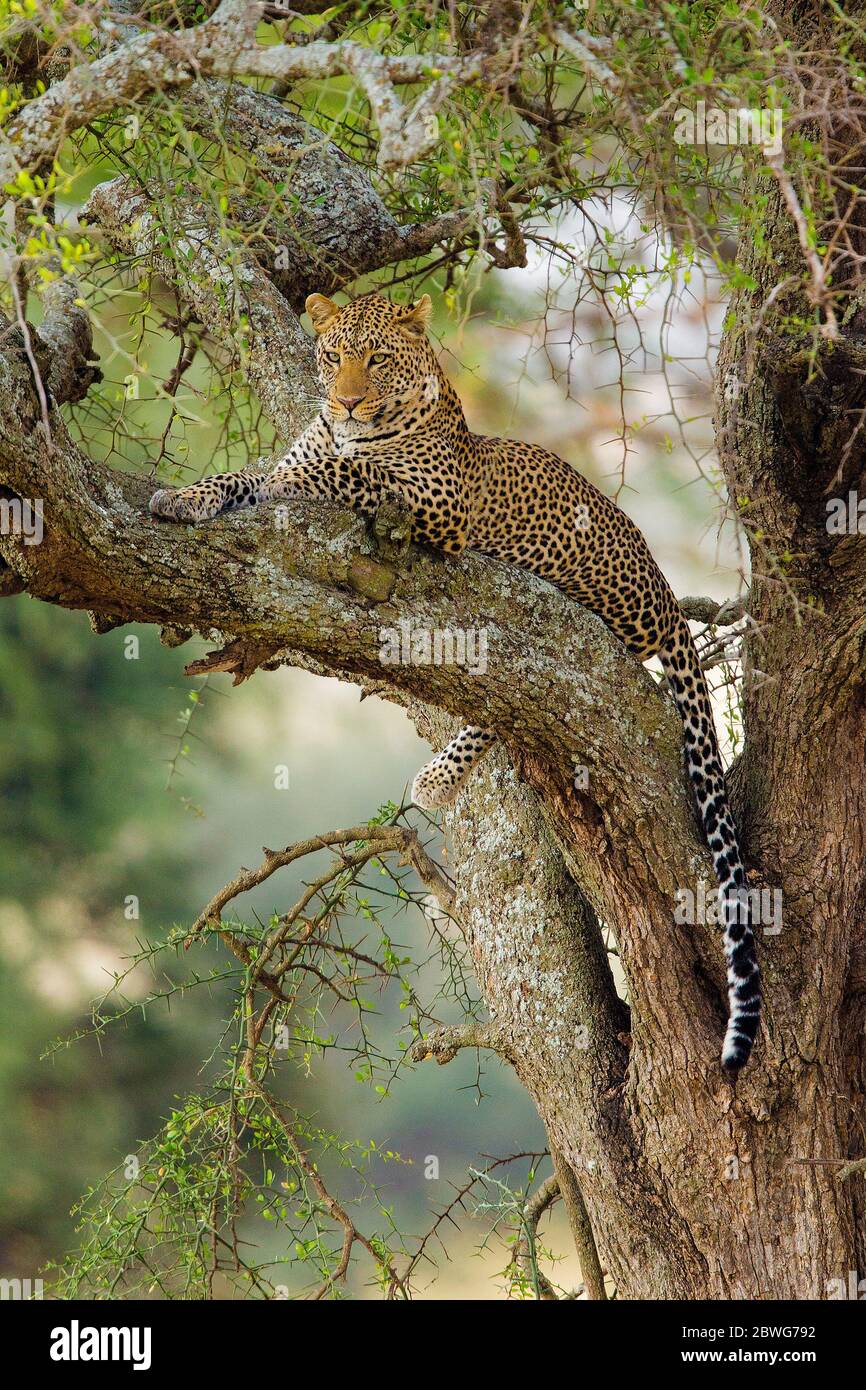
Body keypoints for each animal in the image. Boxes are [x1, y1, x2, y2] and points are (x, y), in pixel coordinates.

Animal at [149, 290, 761, 1071]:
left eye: (377, 358)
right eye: (331, 355)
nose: (347, 402)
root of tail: (663, 596)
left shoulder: (432, 500)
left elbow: (343, 475)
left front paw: (296, 480)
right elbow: (245, 475)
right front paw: (185, 496)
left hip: (581, 605)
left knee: (516, 701)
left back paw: (438, 779)